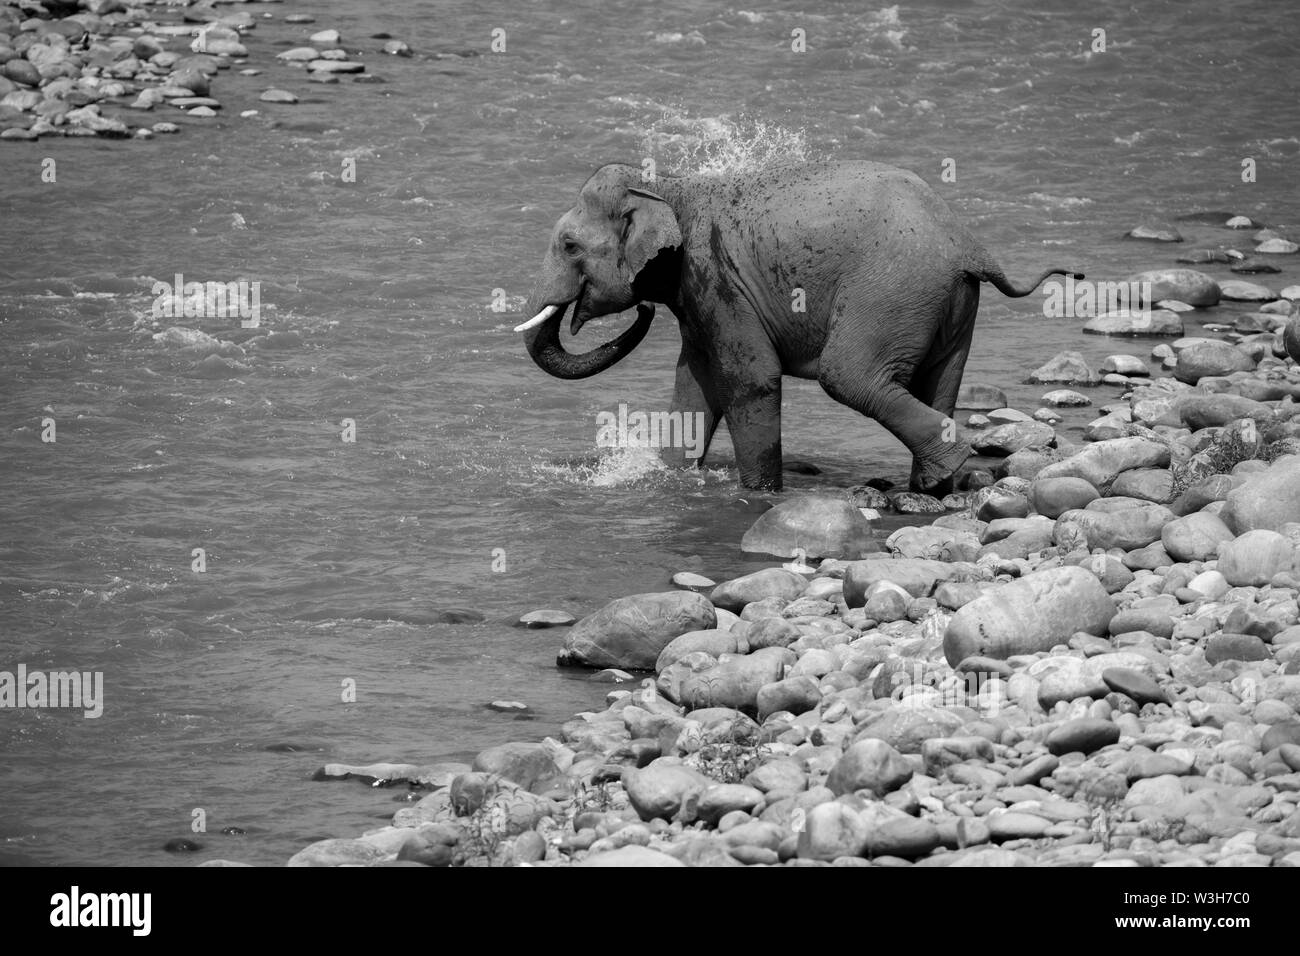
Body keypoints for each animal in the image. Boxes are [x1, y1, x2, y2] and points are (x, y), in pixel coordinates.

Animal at [515, 160, 1081, 493]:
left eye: (569, 245)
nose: (642, 312)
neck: (667, 185)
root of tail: (968, 243)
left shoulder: (717, 277)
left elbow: (750, 381)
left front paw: (759, 495)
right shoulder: (702, 295)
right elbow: (695, 383)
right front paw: (672, 476)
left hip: (890, 291)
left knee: (849, 376)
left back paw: (951, 465)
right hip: (950, 302)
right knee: (940, 380)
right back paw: (933, 486)